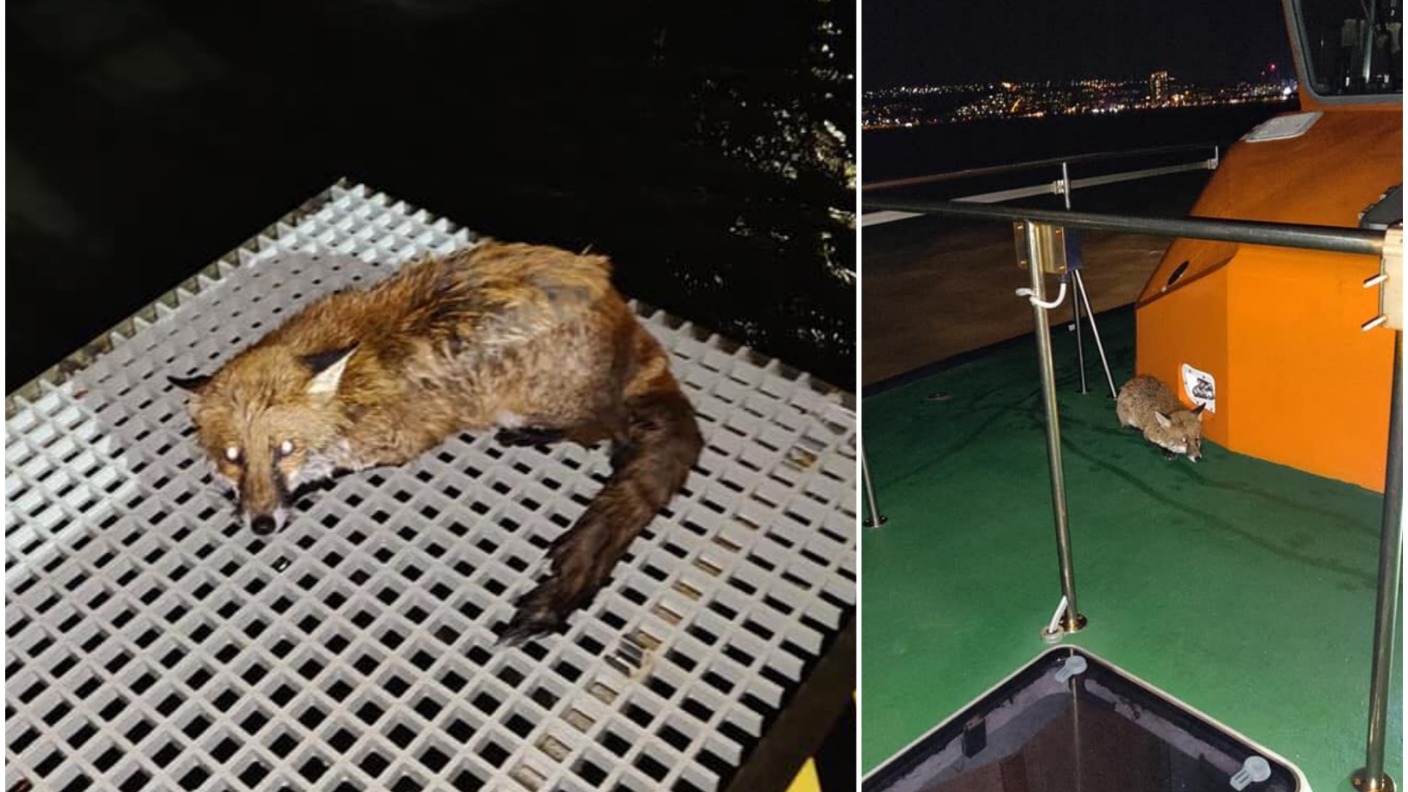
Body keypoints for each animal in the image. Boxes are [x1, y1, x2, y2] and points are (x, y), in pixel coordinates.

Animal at [169, 240, 704, 644]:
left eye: (285, 449)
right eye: (233, 457)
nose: (261, 525)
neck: (353, 390)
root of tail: (632, 329)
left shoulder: (399, 440)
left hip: (542, 399)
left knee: (605, 429)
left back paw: (537, 434)